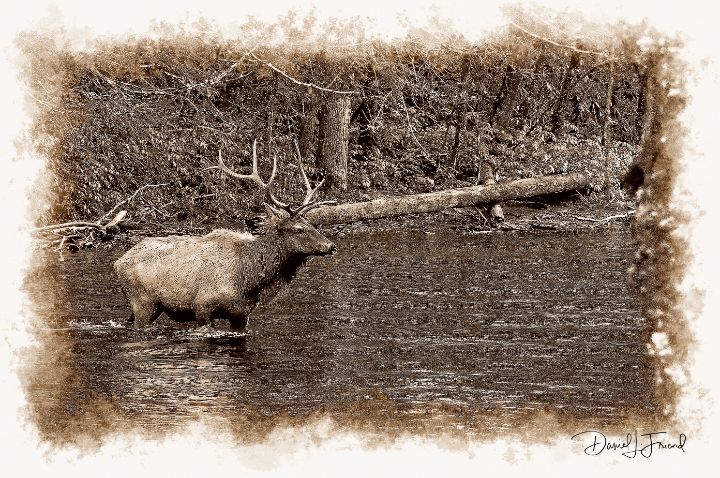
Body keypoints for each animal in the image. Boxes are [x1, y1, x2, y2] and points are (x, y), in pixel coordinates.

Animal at [114, 140, 337, 331]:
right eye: (299, 229)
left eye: (311, 225)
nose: (331, 246)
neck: (248, 282)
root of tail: (117, 263)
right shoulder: (202, 306)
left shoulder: (241, 316)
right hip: (143, 303)